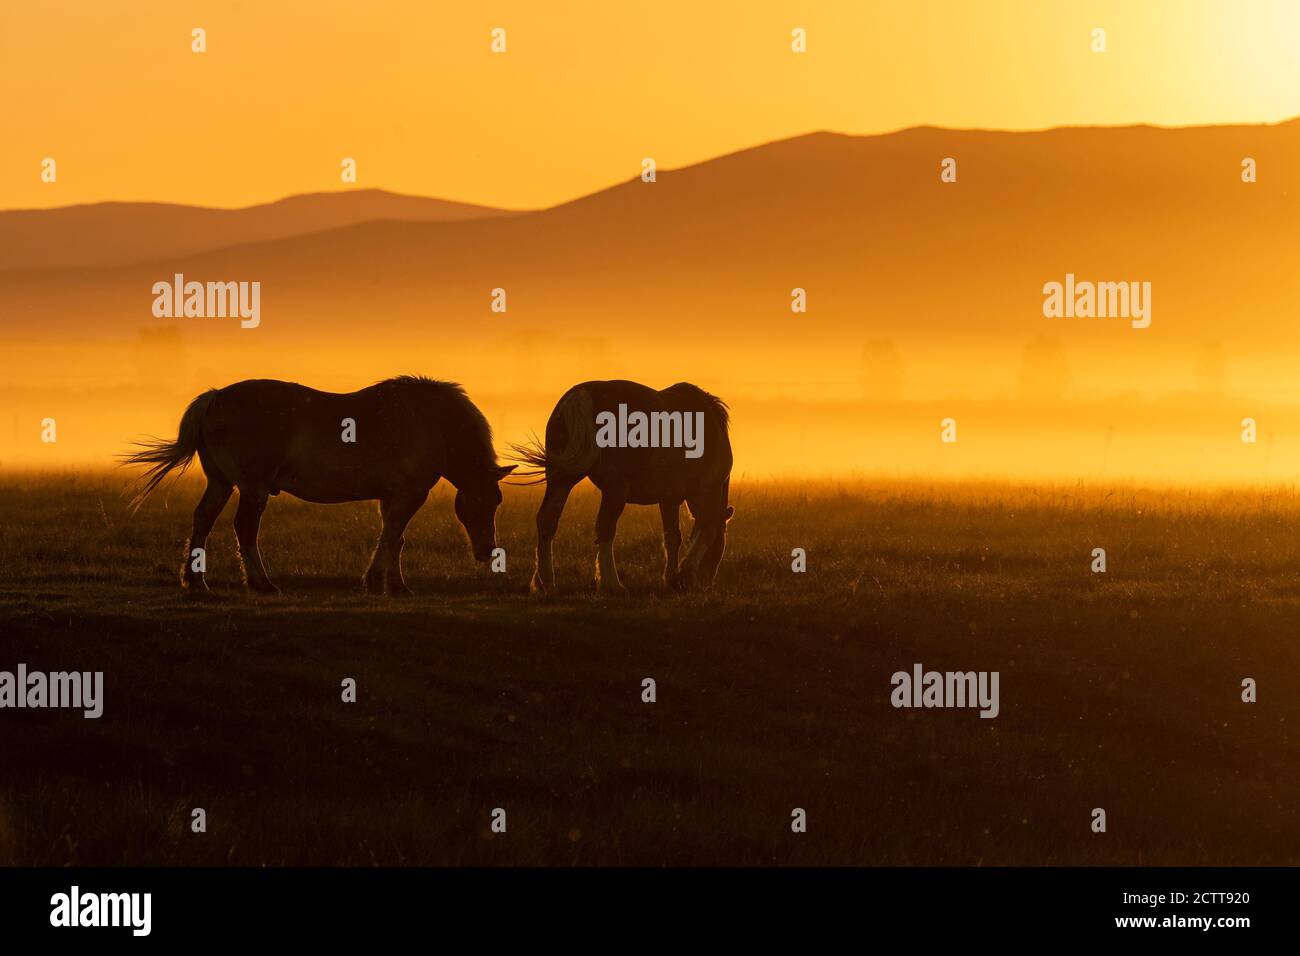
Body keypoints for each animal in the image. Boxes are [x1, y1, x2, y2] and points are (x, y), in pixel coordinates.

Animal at [120, 376, 516, 595]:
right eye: (486, 500)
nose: (487, 552)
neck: (432, 422)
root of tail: (215, 397)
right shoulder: (410, 493)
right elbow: (392, 536)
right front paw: (381, 583)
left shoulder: (392, 496)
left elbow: (394, 538)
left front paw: (392, 584)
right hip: (253, 488)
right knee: (245, 528)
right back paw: (262, 584)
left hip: (221, 484)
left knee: (202, 520)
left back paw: (195, 580)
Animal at [511, 380, 733, 594]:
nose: (706, 586)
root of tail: (583, 394)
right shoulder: (706, 492)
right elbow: (708, 528)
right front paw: (683, 574)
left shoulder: (669, 499)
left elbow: (672, 537)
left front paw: (672, 579)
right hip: (614, 489)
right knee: (605, 528)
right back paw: (612, 584)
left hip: (562, 478)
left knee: (547, 520)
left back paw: (546, 583)